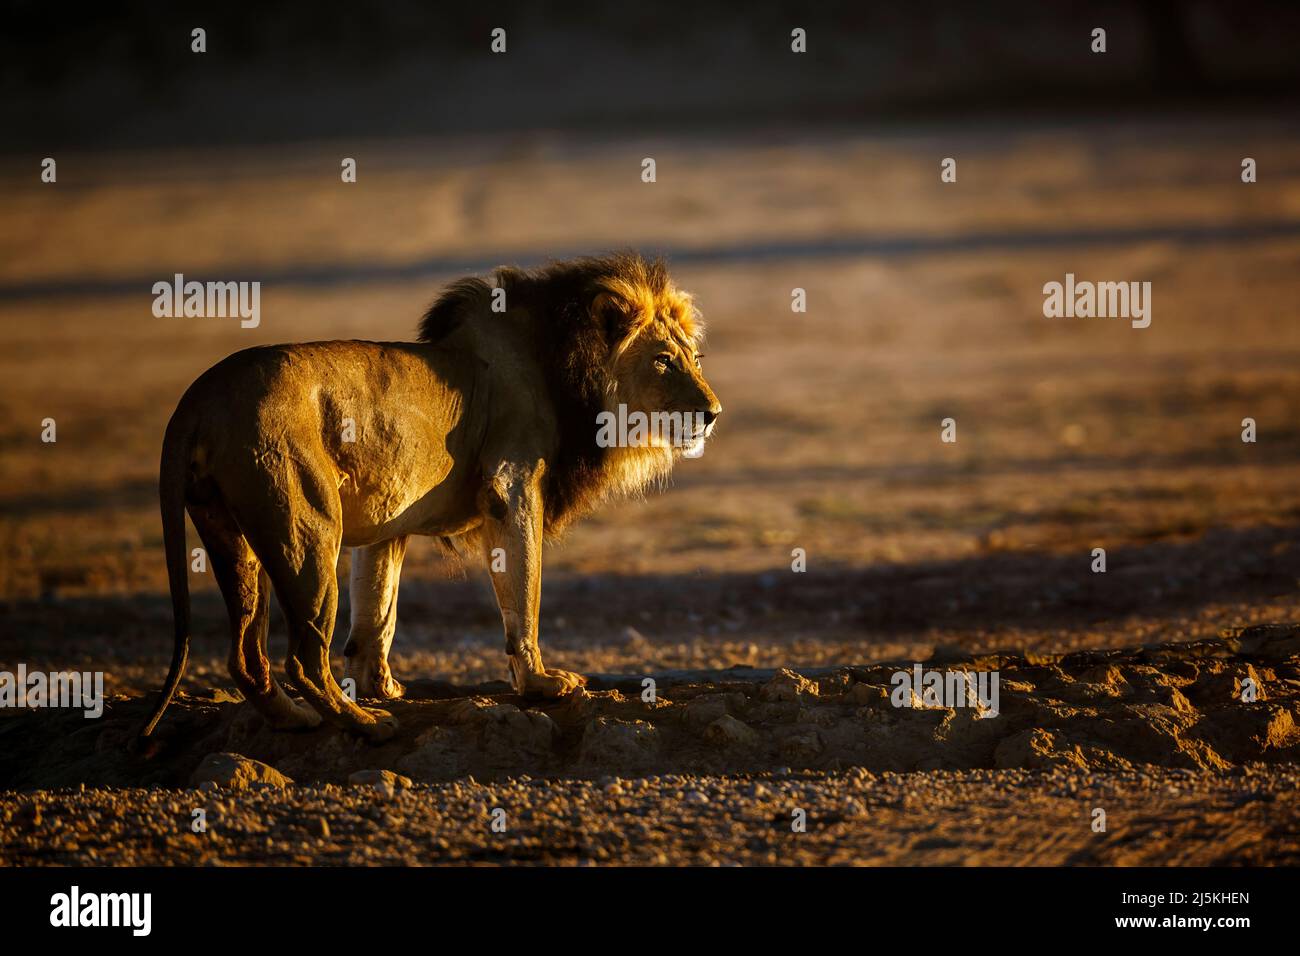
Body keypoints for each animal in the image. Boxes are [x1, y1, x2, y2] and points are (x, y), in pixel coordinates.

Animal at [139, 253, 721, 742]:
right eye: (664, 361)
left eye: (694, 357)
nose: (713, 412)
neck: (562, 369)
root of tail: (199, 395)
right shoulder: (512, 488)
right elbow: (524, 592)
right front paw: (540, 683)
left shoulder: (387, 524)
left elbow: (377, 610)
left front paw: (379, 684)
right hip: (306, 531)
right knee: (301, 657)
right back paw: (365, 724)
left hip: (232, 537)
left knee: (246, 656)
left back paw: (298, 719)